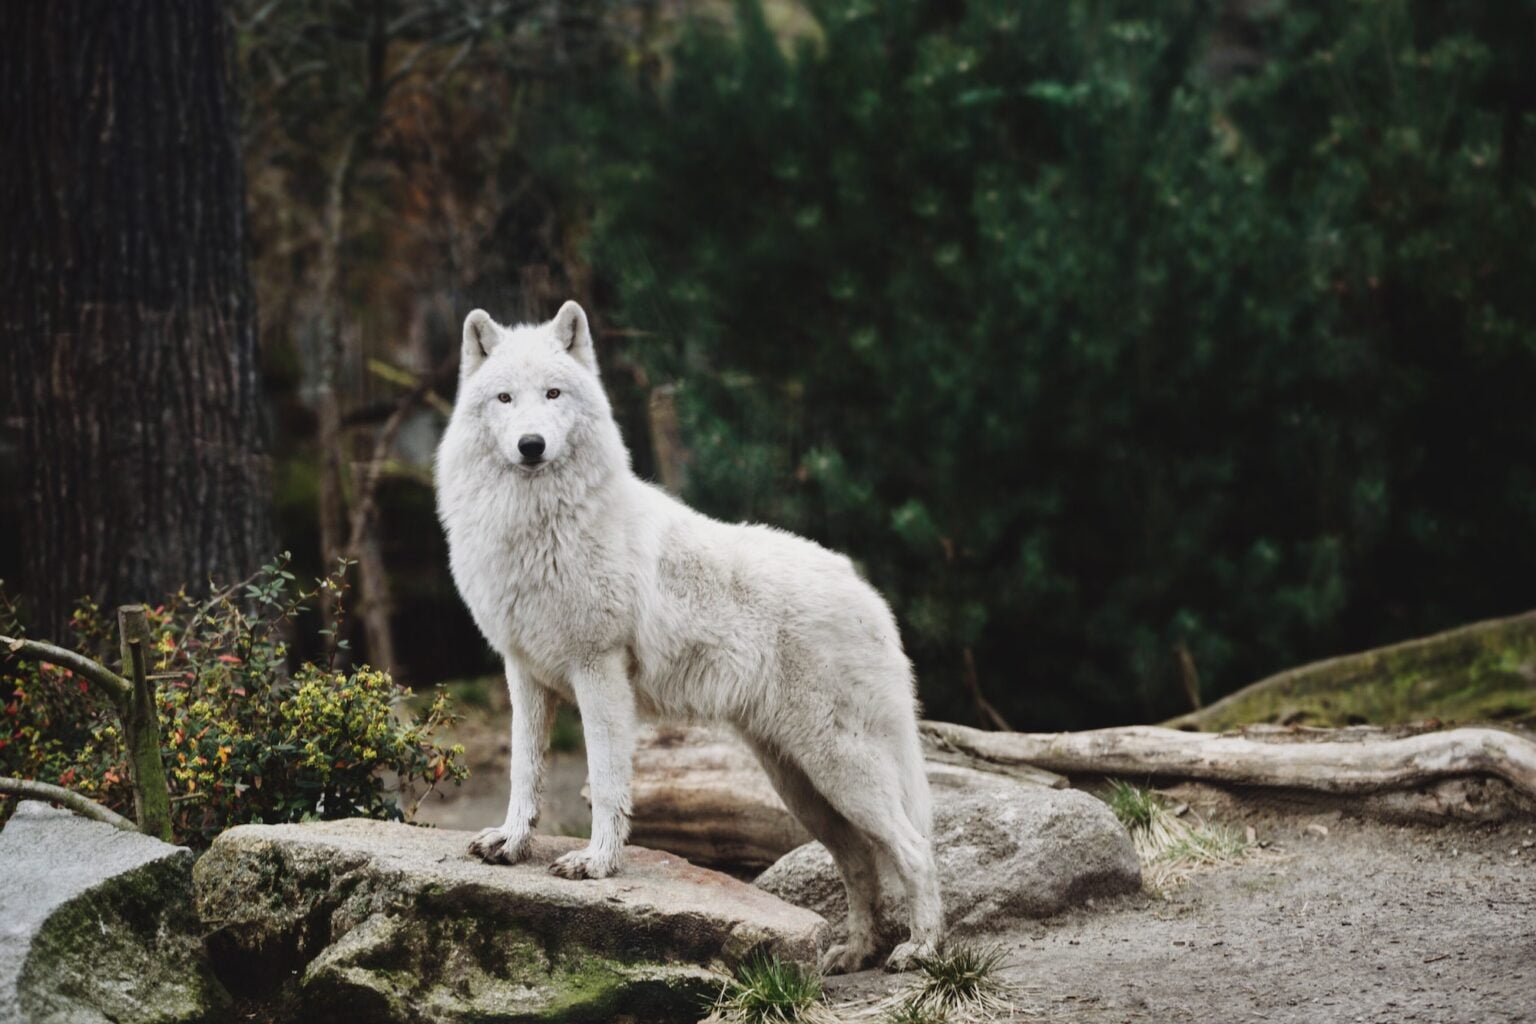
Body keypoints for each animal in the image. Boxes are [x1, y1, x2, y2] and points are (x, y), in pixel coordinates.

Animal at [435, 301, 942, 972]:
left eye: (553, 394)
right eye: (504, 398)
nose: (531, 445)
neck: (536, 525)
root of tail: (868, 593)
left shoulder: (598, 672)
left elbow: (607, 781)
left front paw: (597, 864)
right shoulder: (524, 673)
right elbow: (525, 770)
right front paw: (512, 843)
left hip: (841, 771)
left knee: (915, 849)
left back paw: (922, 949)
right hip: (801, 786)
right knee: (860, 861)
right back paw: (854, 952)